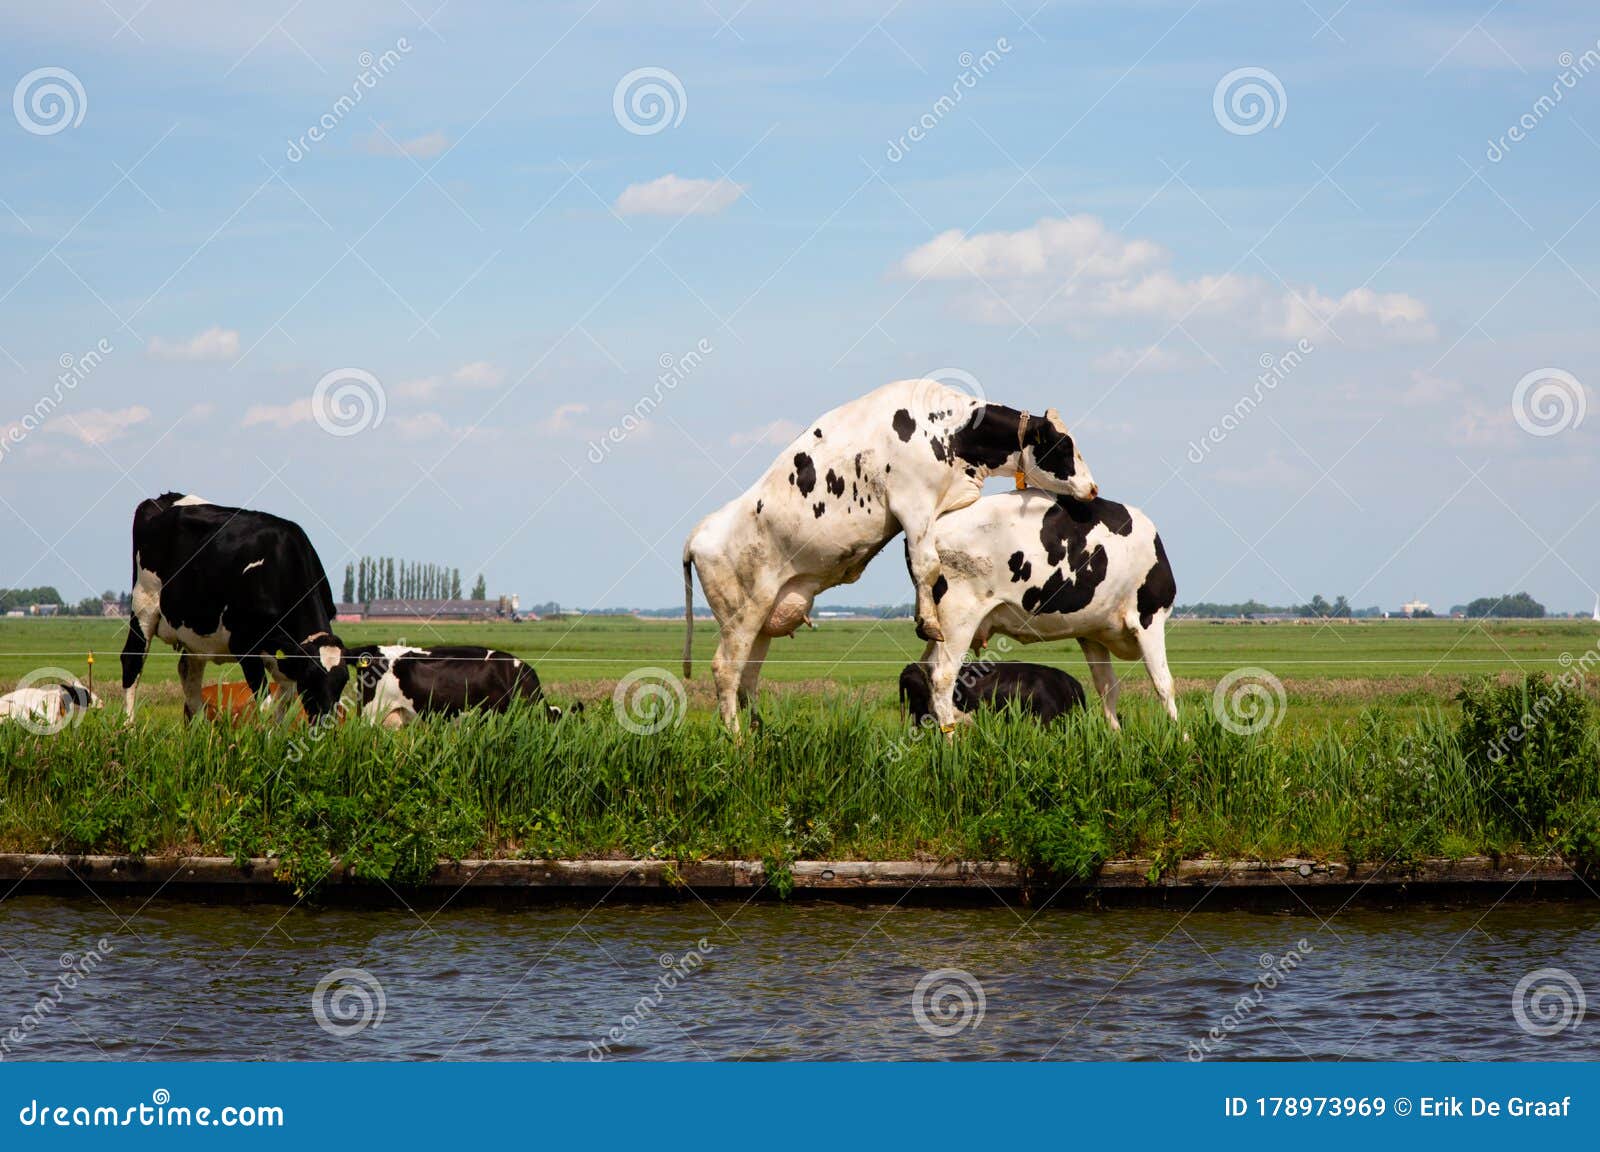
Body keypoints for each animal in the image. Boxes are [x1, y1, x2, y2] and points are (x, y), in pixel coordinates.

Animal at [120, 493, 350, 722]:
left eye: (344, 680)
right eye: (311, 679)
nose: (328, 721)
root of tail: (162, 499)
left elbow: (284, 699)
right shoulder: (244, 645)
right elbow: (265, 704)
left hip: (195, 634)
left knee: (188, 673)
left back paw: (200, 726)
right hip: (144, 604)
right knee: (132, 660)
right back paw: (129, 725)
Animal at [917, 491, 1177, 732]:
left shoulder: (1092, 633)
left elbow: (1107, 685)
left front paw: (1115, 735)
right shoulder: (1149, 619)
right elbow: (1164, 683)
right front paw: (1178, 734)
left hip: (936, 627)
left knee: (926, 669)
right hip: (959, 618)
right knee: (943, 677)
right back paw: (951, 740)